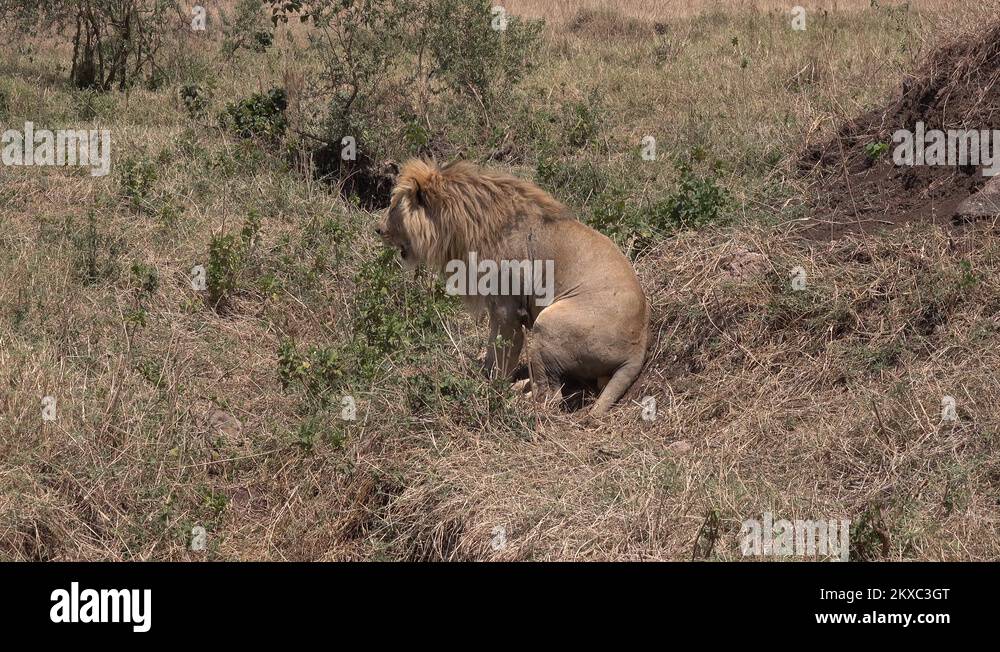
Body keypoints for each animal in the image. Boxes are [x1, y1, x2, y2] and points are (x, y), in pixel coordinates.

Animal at [376, 158, 649, 417]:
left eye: (393, 206)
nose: (377, 229)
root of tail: (638, 350)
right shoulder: (495, 305)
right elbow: (491, 346)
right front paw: (483, 378)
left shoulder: (508, 309)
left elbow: (503, 352)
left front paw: (492, 390)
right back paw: (520, 387)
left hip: (548, 324)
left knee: (550, 397)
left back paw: (514, 402)